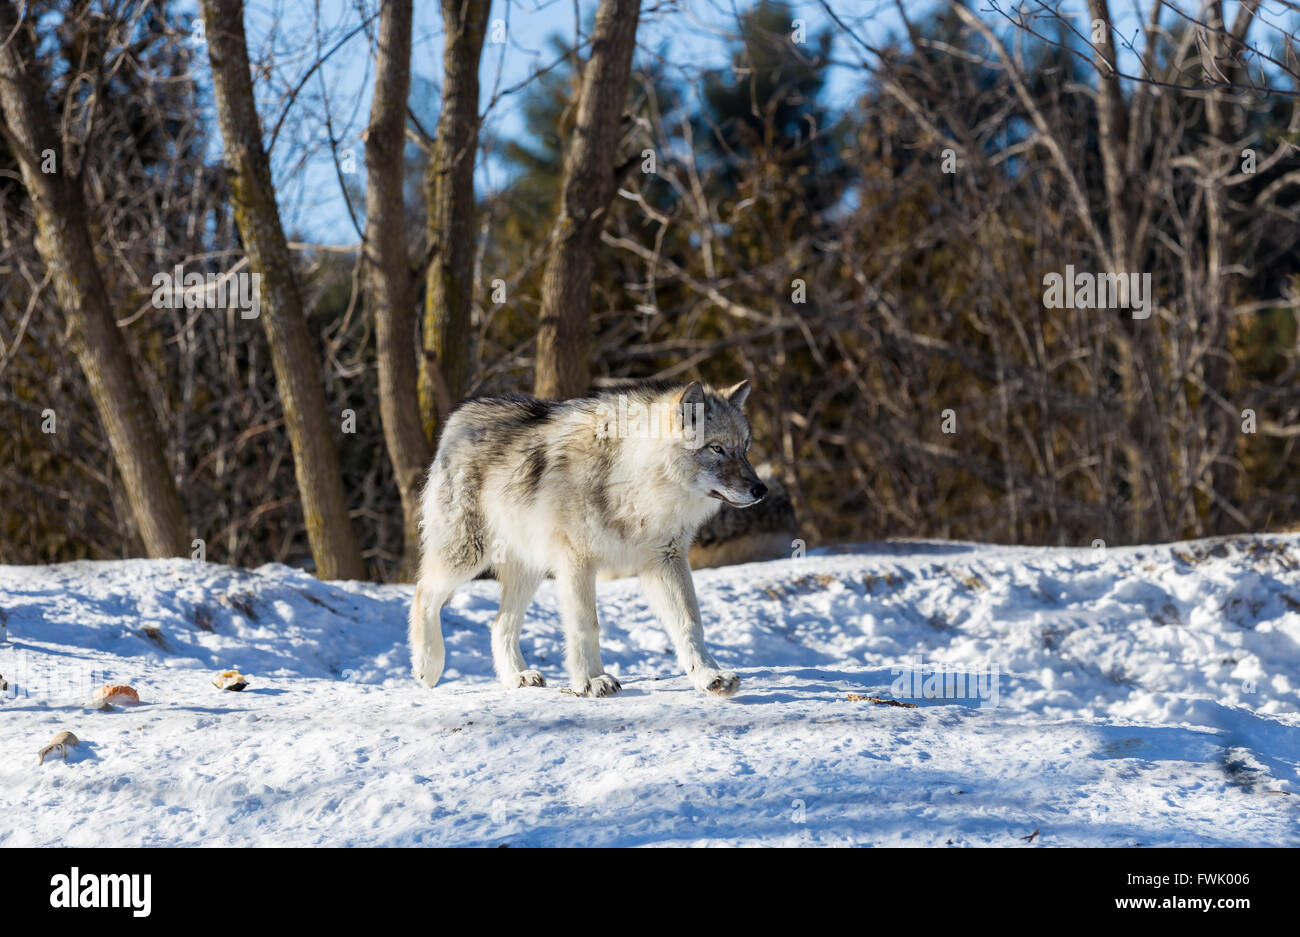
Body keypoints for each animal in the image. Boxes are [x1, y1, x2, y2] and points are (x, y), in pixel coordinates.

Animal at [408, 380, 766, 698]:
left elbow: (690, 623)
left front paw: (710, 677)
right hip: (468, 555)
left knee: (499, 625)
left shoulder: (666, 561)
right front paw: (592, 681)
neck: (633, 483)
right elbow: (586, 623)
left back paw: (517, 677)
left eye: (745, 449)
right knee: (424, 591)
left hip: (529, 569)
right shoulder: (577, 562)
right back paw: (429, 666)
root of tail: (460, 415)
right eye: (717, 448)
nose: (760, 490)